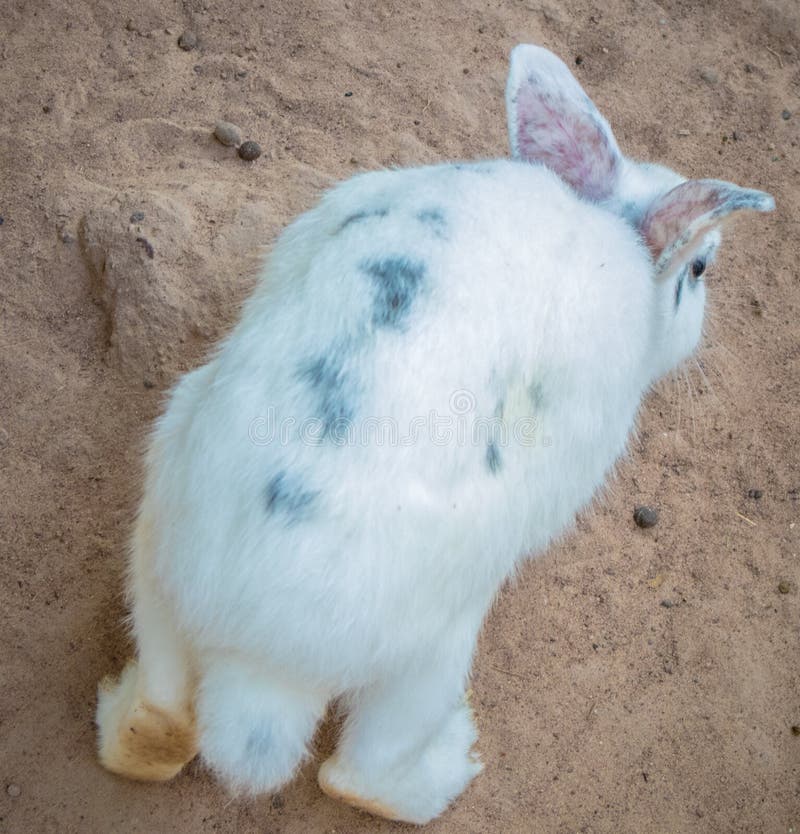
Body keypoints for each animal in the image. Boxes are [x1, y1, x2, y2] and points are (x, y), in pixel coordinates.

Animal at [95, 44, 774, 824]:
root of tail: (260, 670)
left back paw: (121, 707)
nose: (701, 321)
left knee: (157, 726)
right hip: (437, 651)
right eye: (700, 268)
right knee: (355, 778)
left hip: (158, 536)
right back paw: (454, 761)